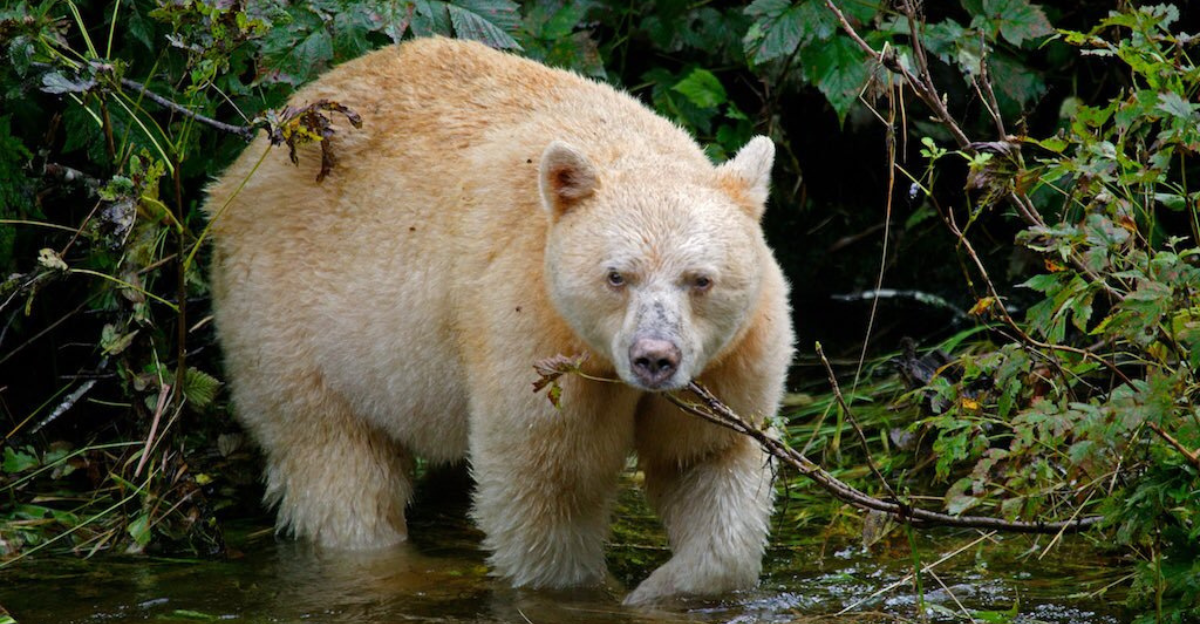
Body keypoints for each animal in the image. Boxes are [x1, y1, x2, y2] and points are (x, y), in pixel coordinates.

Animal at [204, 37, 794, 605]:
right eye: (616, 276)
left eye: (701, 279)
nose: (654, 358)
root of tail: (240, 169)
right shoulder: (531, 326)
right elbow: (547, 482)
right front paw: (585, 591)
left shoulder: (730, 358)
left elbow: (706, 458)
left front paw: (661, 588)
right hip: (289, 318)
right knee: (333, 463)